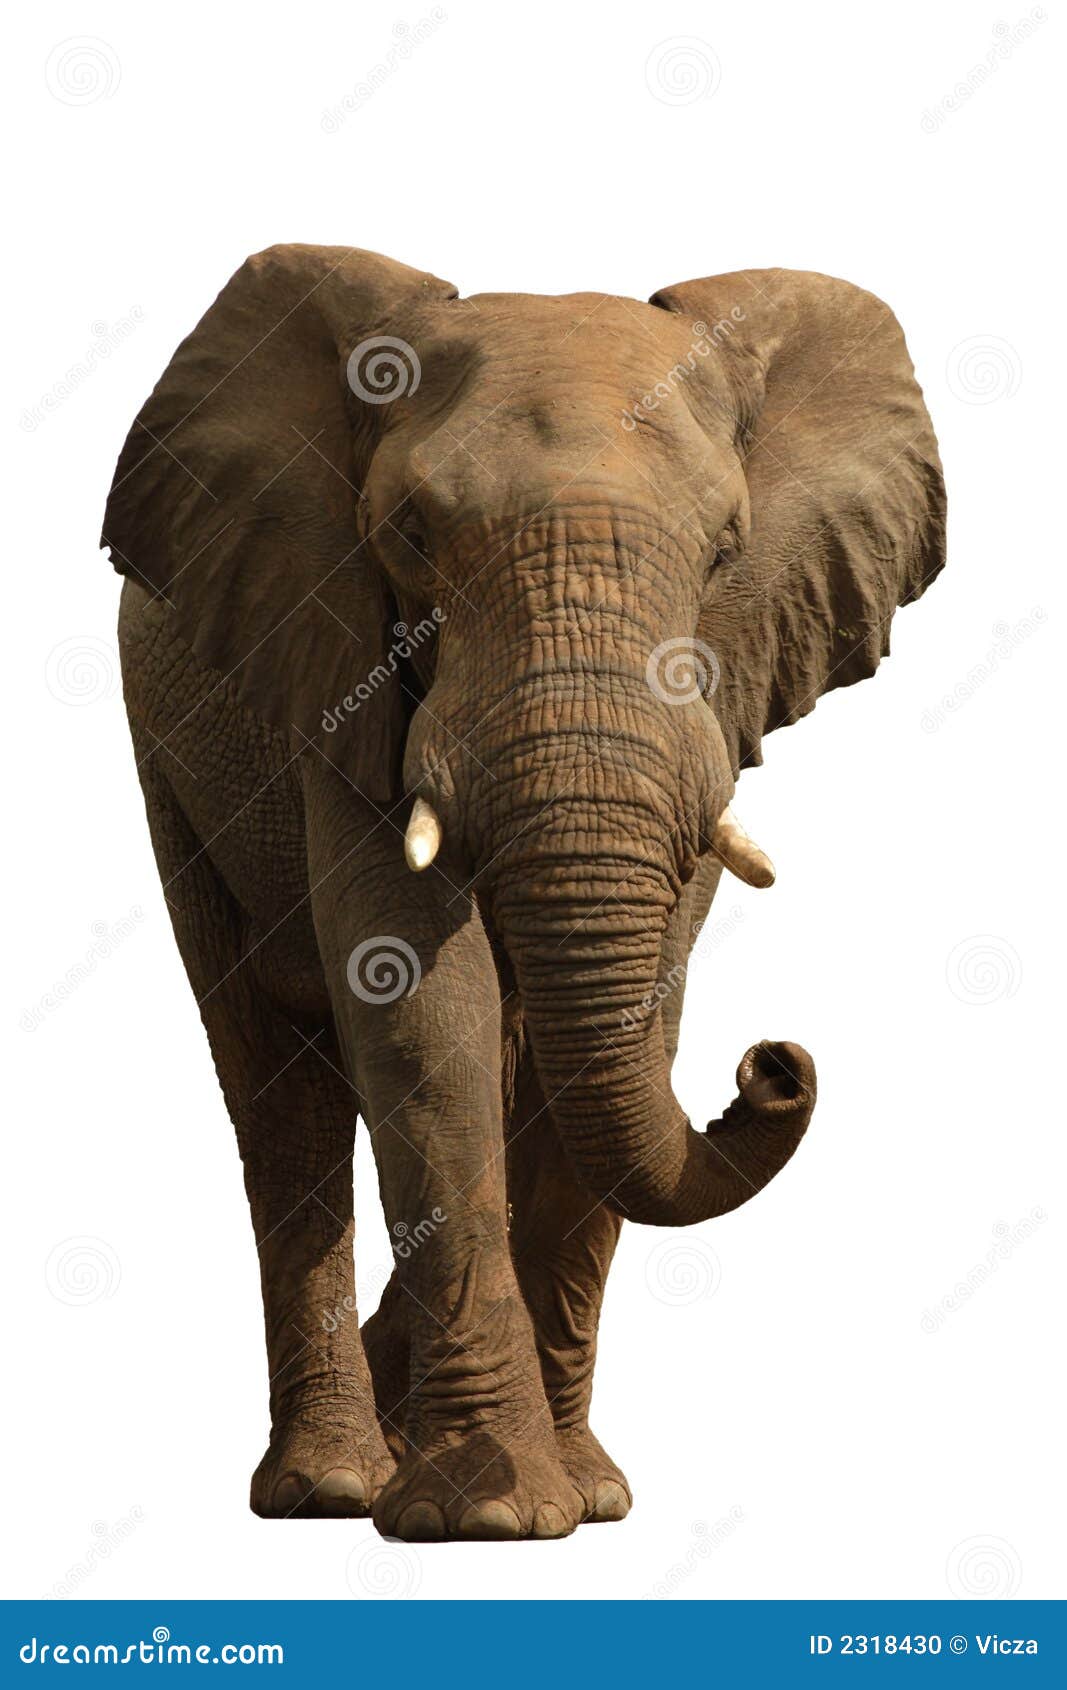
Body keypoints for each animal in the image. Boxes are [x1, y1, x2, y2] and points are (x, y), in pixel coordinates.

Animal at [101, 246, 945, 1541]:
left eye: (725, 547)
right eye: (406, 533)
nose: (773, 1065)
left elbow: (636, 1007)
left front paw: (587, 1500)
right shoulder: (334, 666)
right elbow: (416, 1004)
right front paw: (480, 1517)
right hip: (174, 768)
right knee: (278, 1090)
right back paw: (329, 1486)